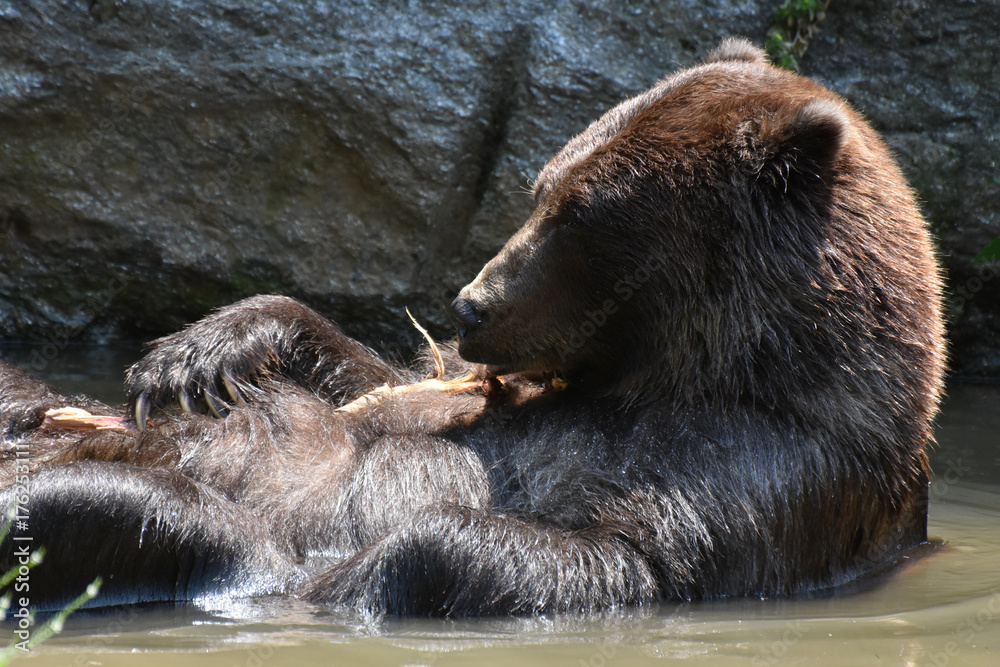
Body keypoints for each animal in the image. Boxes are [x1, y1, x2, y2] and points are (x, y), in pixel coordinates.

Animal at [0, 38, 944, 615]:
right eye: (543, 184)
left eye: (581, 213)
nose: (470, 304)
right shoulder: (487, 388)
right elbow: (386, 379)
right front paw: (200, 354)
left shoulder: (761, 473)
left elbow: (603, 553)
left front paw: (350, 575)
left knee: (132, 506)